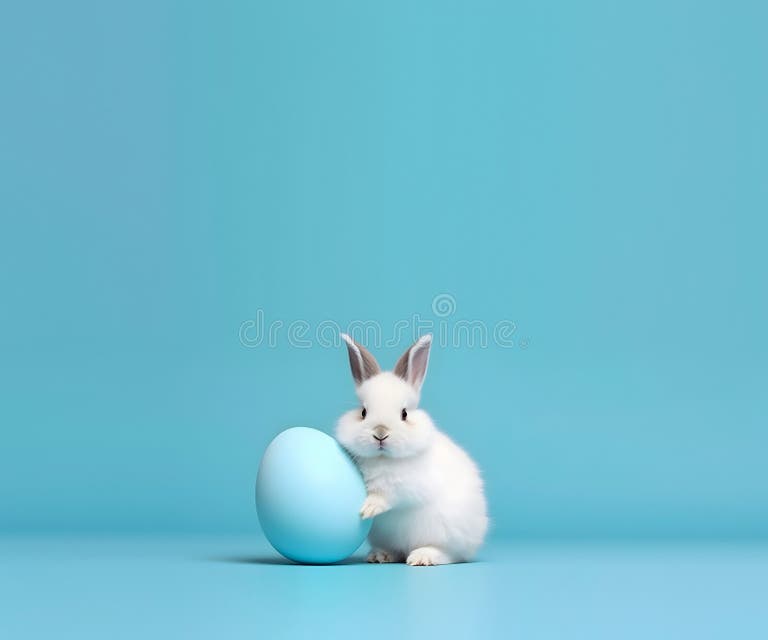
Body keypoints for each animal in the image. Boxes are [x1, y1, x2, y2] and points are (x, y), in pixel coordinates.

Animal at [336, 333, 488, 566]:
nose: (380, 433)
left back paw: (423, 556)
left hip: (447, 533)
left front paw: (371, 507)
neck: (383, 459)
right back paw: (381, 555)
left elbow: (391, 495)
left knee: (451, 554)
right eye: (363, 412)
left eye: (404, 414)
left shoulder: (412, 485)